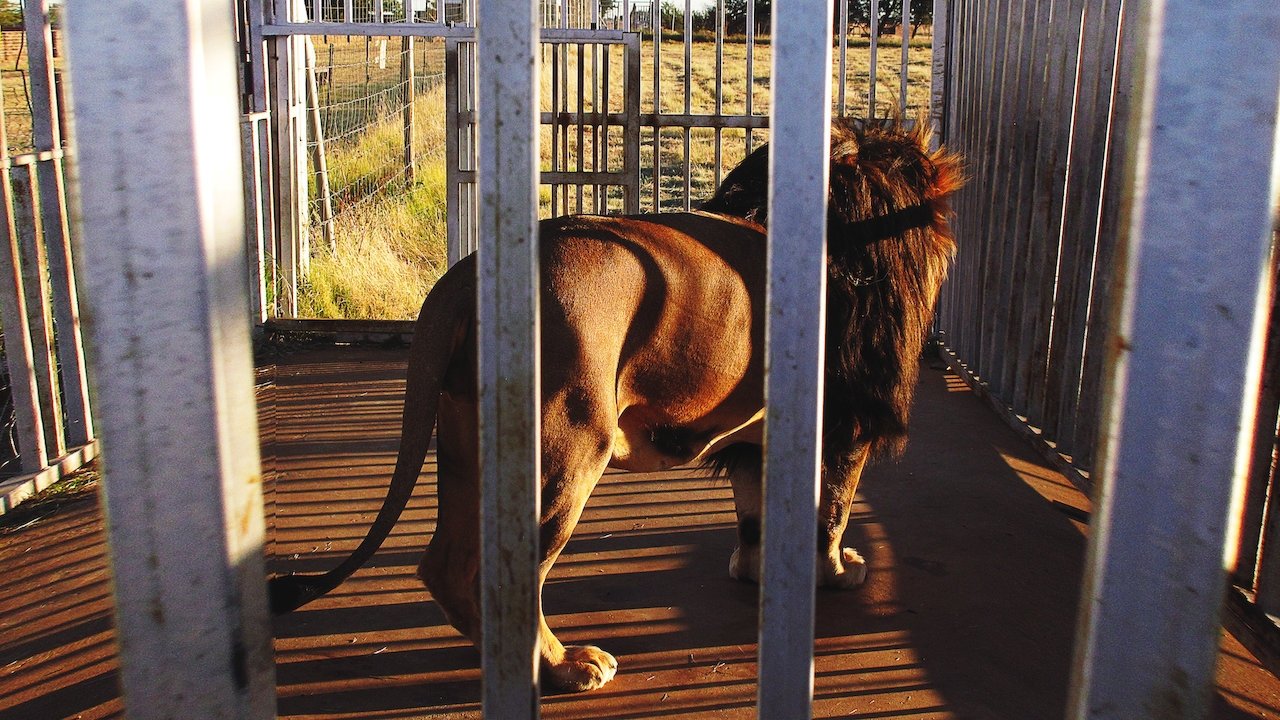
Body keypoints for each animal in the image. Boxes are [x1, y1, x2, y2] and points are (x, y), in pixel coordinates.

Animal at [269, 118, 964, 692]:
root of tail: (464, 277)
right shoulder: (845, 421)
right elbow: (832, 514)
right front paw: (837, 573)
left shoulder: (758, 434)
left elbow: (753, 513)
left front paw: (752, 569)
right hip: (567, 446)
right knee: (496, 572)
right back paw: (562, 667)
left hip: (466, 438)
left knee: (445, 563)